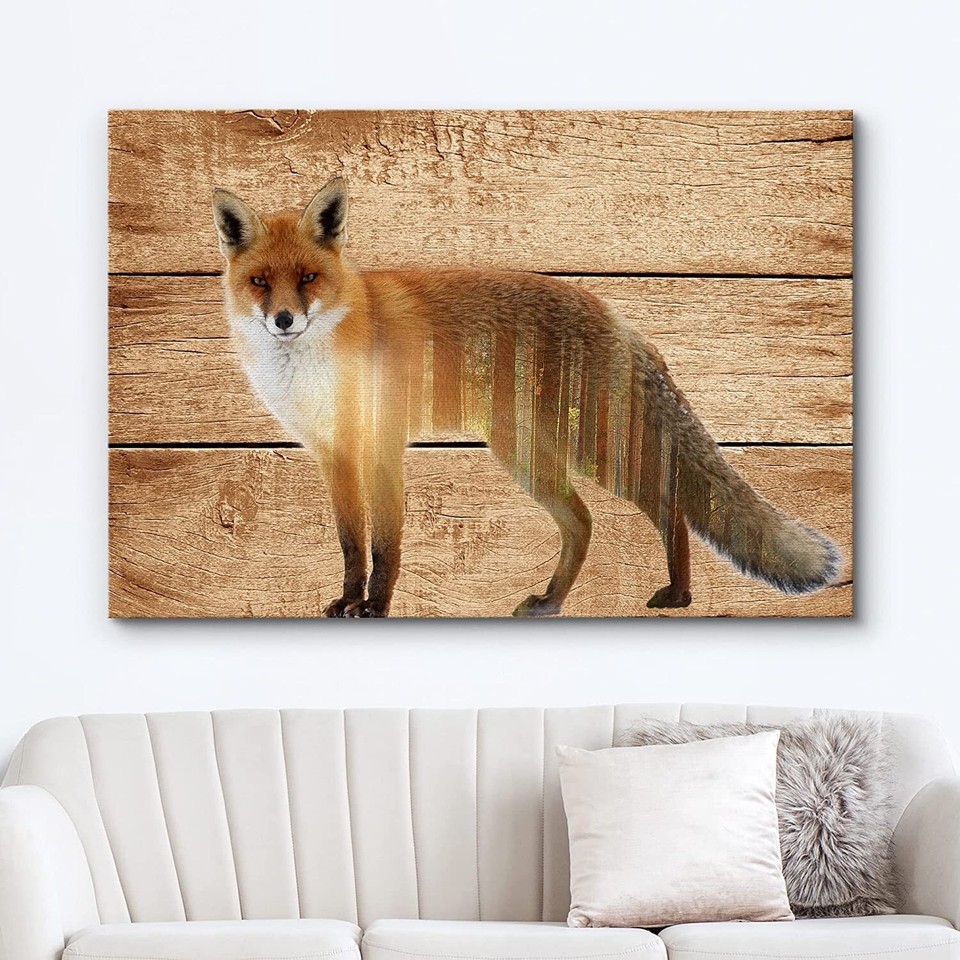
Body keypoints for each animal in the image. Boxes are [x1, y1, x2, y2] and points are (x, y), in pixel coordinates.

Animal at [212, 177, 841, 618]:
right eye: (260, 282)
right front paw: (349, 600)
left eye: (308, 278)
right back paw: (555, 601)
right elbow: (351, 544)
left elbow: (386, 545)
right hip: (528, 453)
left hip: (590, 446)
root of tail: (617, 317)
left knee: (667, 507)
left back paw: (677, 594)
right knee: (588, 521)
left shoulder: (384, 445)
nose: (285, 320)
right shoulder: (334, 455)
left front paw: (377, 606)